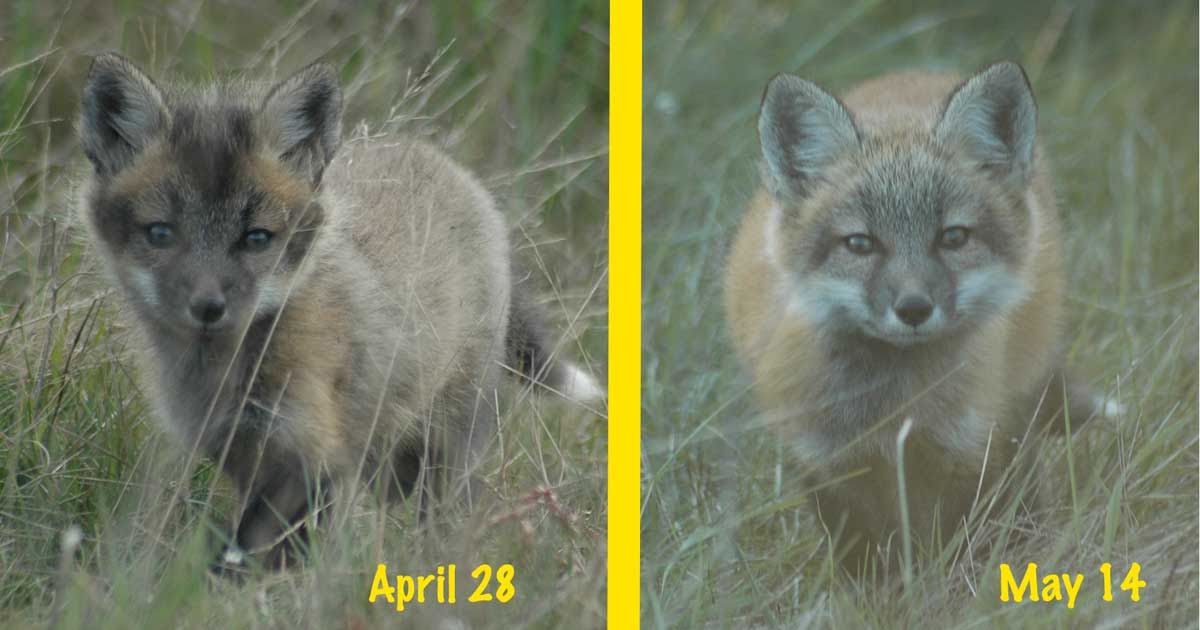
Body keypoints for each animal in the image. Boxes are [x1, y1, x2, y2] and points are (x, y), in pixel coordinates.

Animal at [77, 53, 601, 571]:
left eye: (257, 238)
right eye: (160, 233)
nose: (209, 308)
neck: (224, 376)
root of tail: (448, 165)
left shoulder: (314, 458)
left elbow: (273, 554)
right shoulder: (242, 454)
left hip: (448, 445)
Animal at [724, 62, 1118, 574]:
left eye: (953, 237)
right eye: (860, 243)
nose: (913, 308)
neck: (897, 407)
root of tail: (917, 71)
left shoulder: (979, 448)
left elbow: (987, 542)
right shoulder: (828, 463)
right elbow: (867, 564)